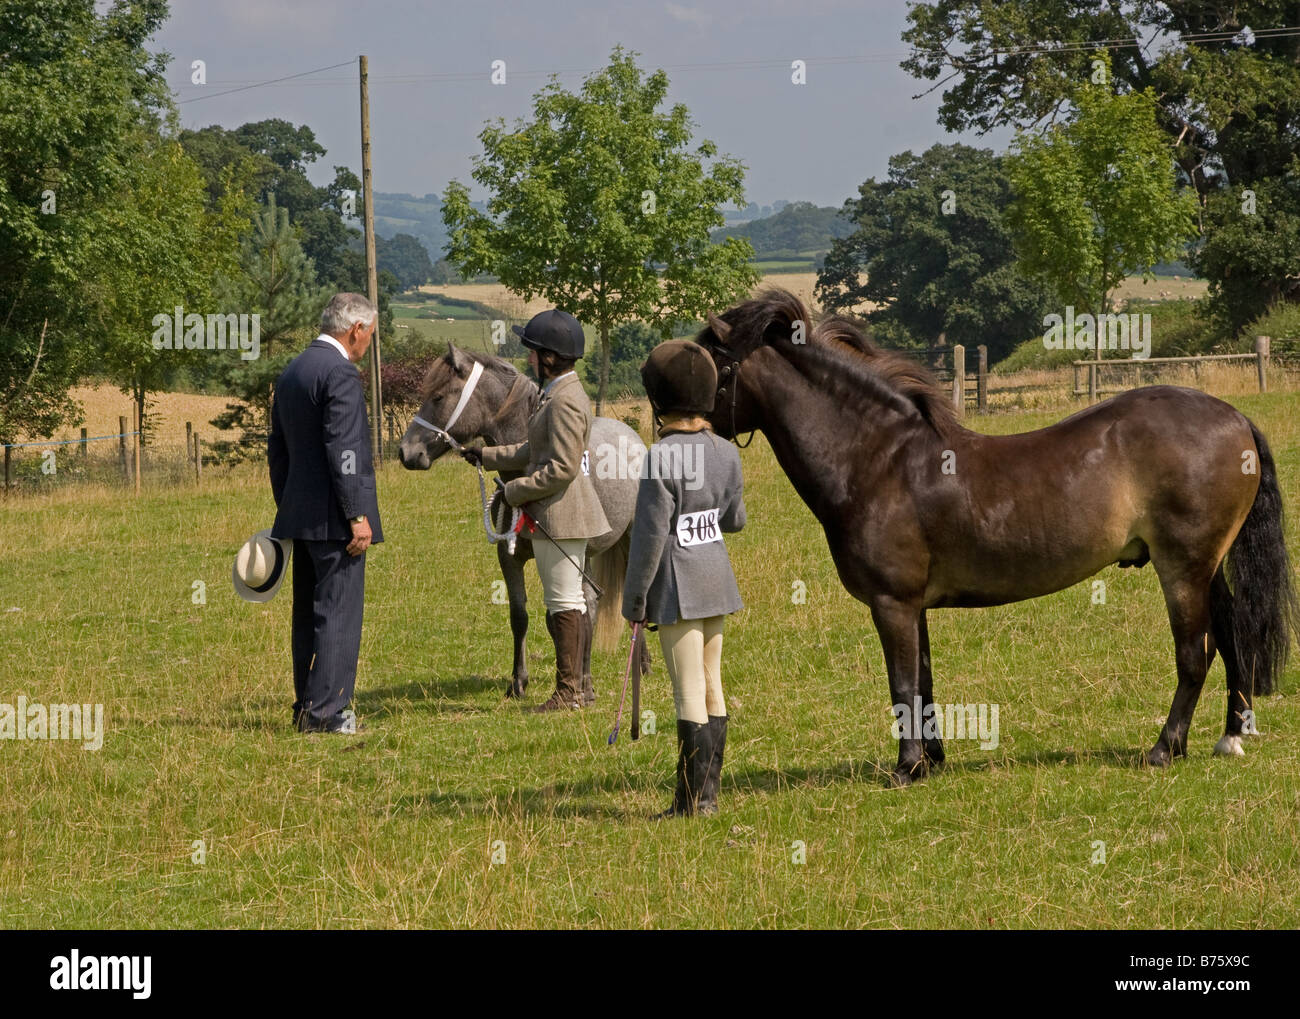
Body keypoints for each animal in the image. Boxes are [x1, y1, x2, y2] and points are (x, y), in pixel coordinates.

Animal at [695, 288, 1297, 786]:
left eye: (709, 362)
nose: (675, 425)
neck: (879, 460)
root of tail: (1235, 417)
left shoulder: (892, 603)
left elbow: (901, 684)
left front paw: (905, 768)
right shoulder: (914, 607)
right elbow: (924, 681)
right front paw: (932, 761)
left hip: (1183, 567)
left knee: (1195, 652)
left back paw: (1164, 748)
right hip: (1206, 566)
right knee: (1231, 633)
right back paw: (1229, 737)